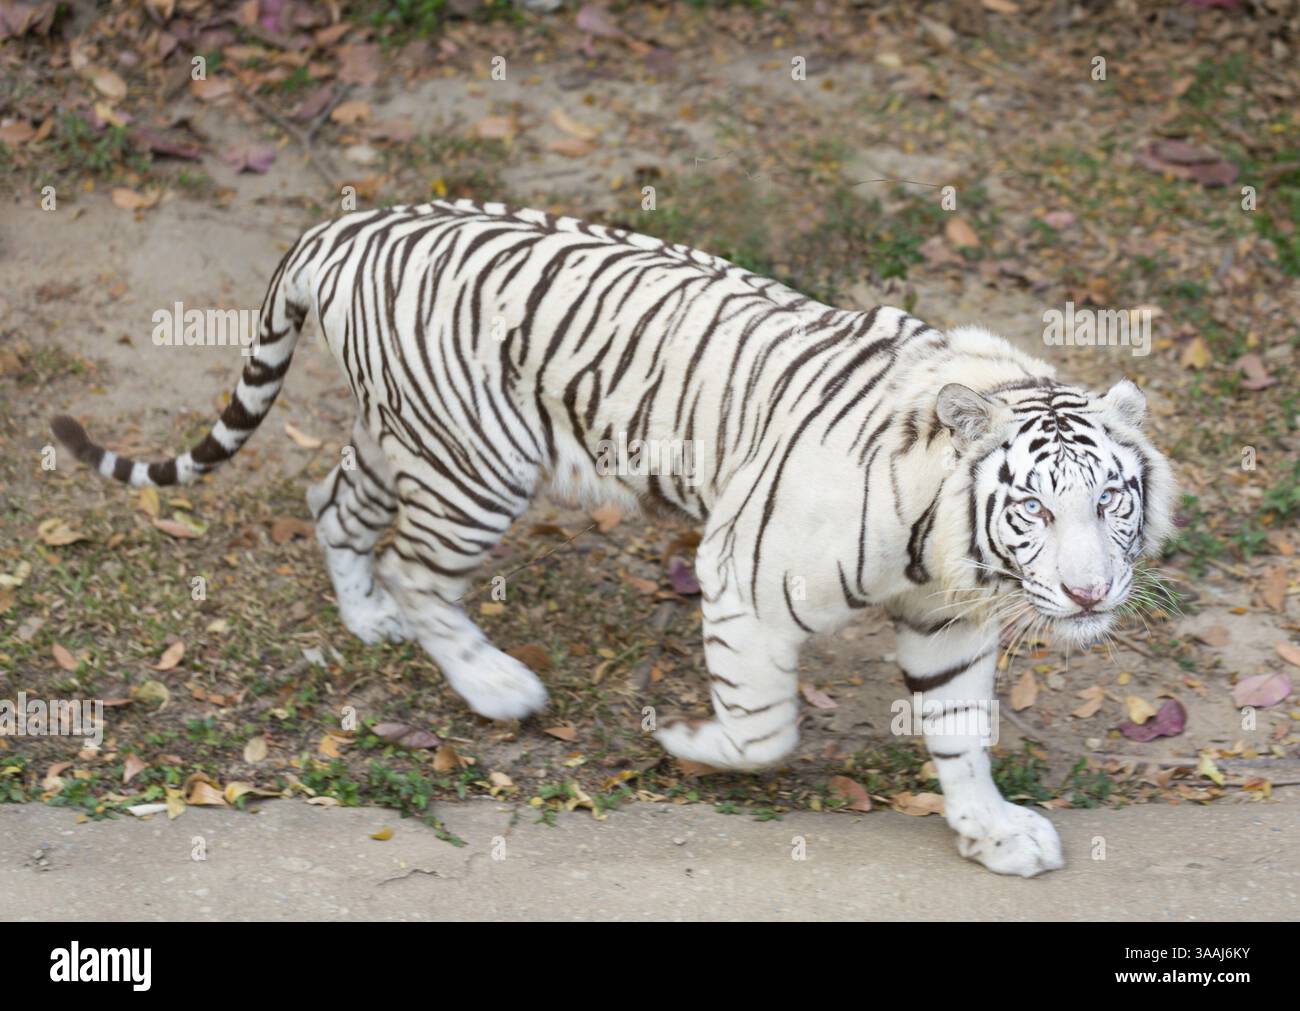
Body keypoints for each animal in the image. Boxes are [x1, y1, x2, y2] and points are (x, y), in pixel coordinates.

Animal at [51, 199, 1174, 877]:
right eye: (1033, 509)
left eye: (1112, 501)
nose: (1088, 595)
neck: (950, 546)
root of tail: (350, 223)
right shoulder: (745, 573)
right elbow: (765, 727)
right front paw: (688, 744)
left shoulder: (947, 619)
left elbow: (958, 730)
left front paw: (992, 832)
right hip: (478, 464)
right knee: (419, 571)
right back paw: (494, 685)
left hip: (403, 437)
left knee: (336, 502)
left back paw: (366, 619)